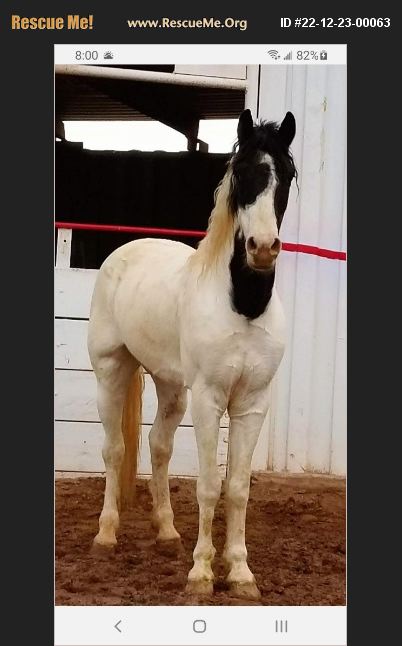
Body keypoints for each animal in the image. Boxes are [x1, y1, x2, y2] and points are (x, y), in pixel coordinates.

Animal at [87, 109, 297, 600]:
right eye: (241, 172)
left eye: (287, 175)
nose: (263, 248)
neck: (242, 304)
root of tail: (126, 250)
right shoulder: (209, 400)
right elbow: (207, 485)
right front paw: (201, 573)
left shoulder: (251, 404)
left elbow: (237, 488)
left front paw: (240, 573)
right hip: (111, 371)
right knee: (114, 449)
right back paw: (106, 534)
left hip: (170, 386)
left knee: (158, 446)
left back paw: (167, 533)